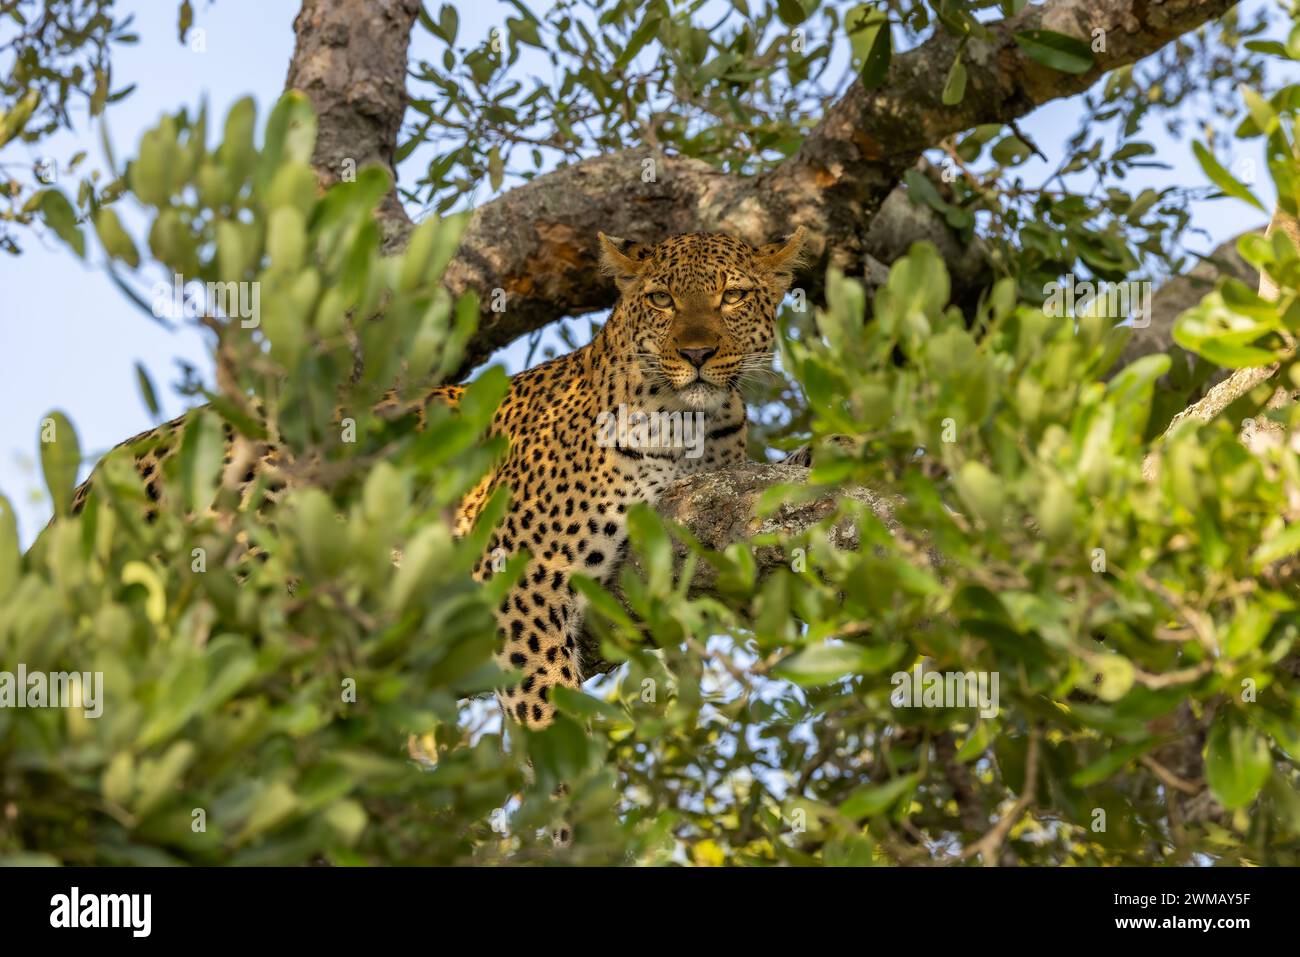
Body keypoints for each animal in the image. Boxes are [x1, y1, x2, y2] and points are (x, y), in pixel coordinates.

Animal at [67, 228, 806, 731]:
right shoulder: (518, 571)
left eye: (732, 296)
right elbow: (548, 714)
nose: (698, 352)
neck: (693, 428)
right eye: (661, 298)